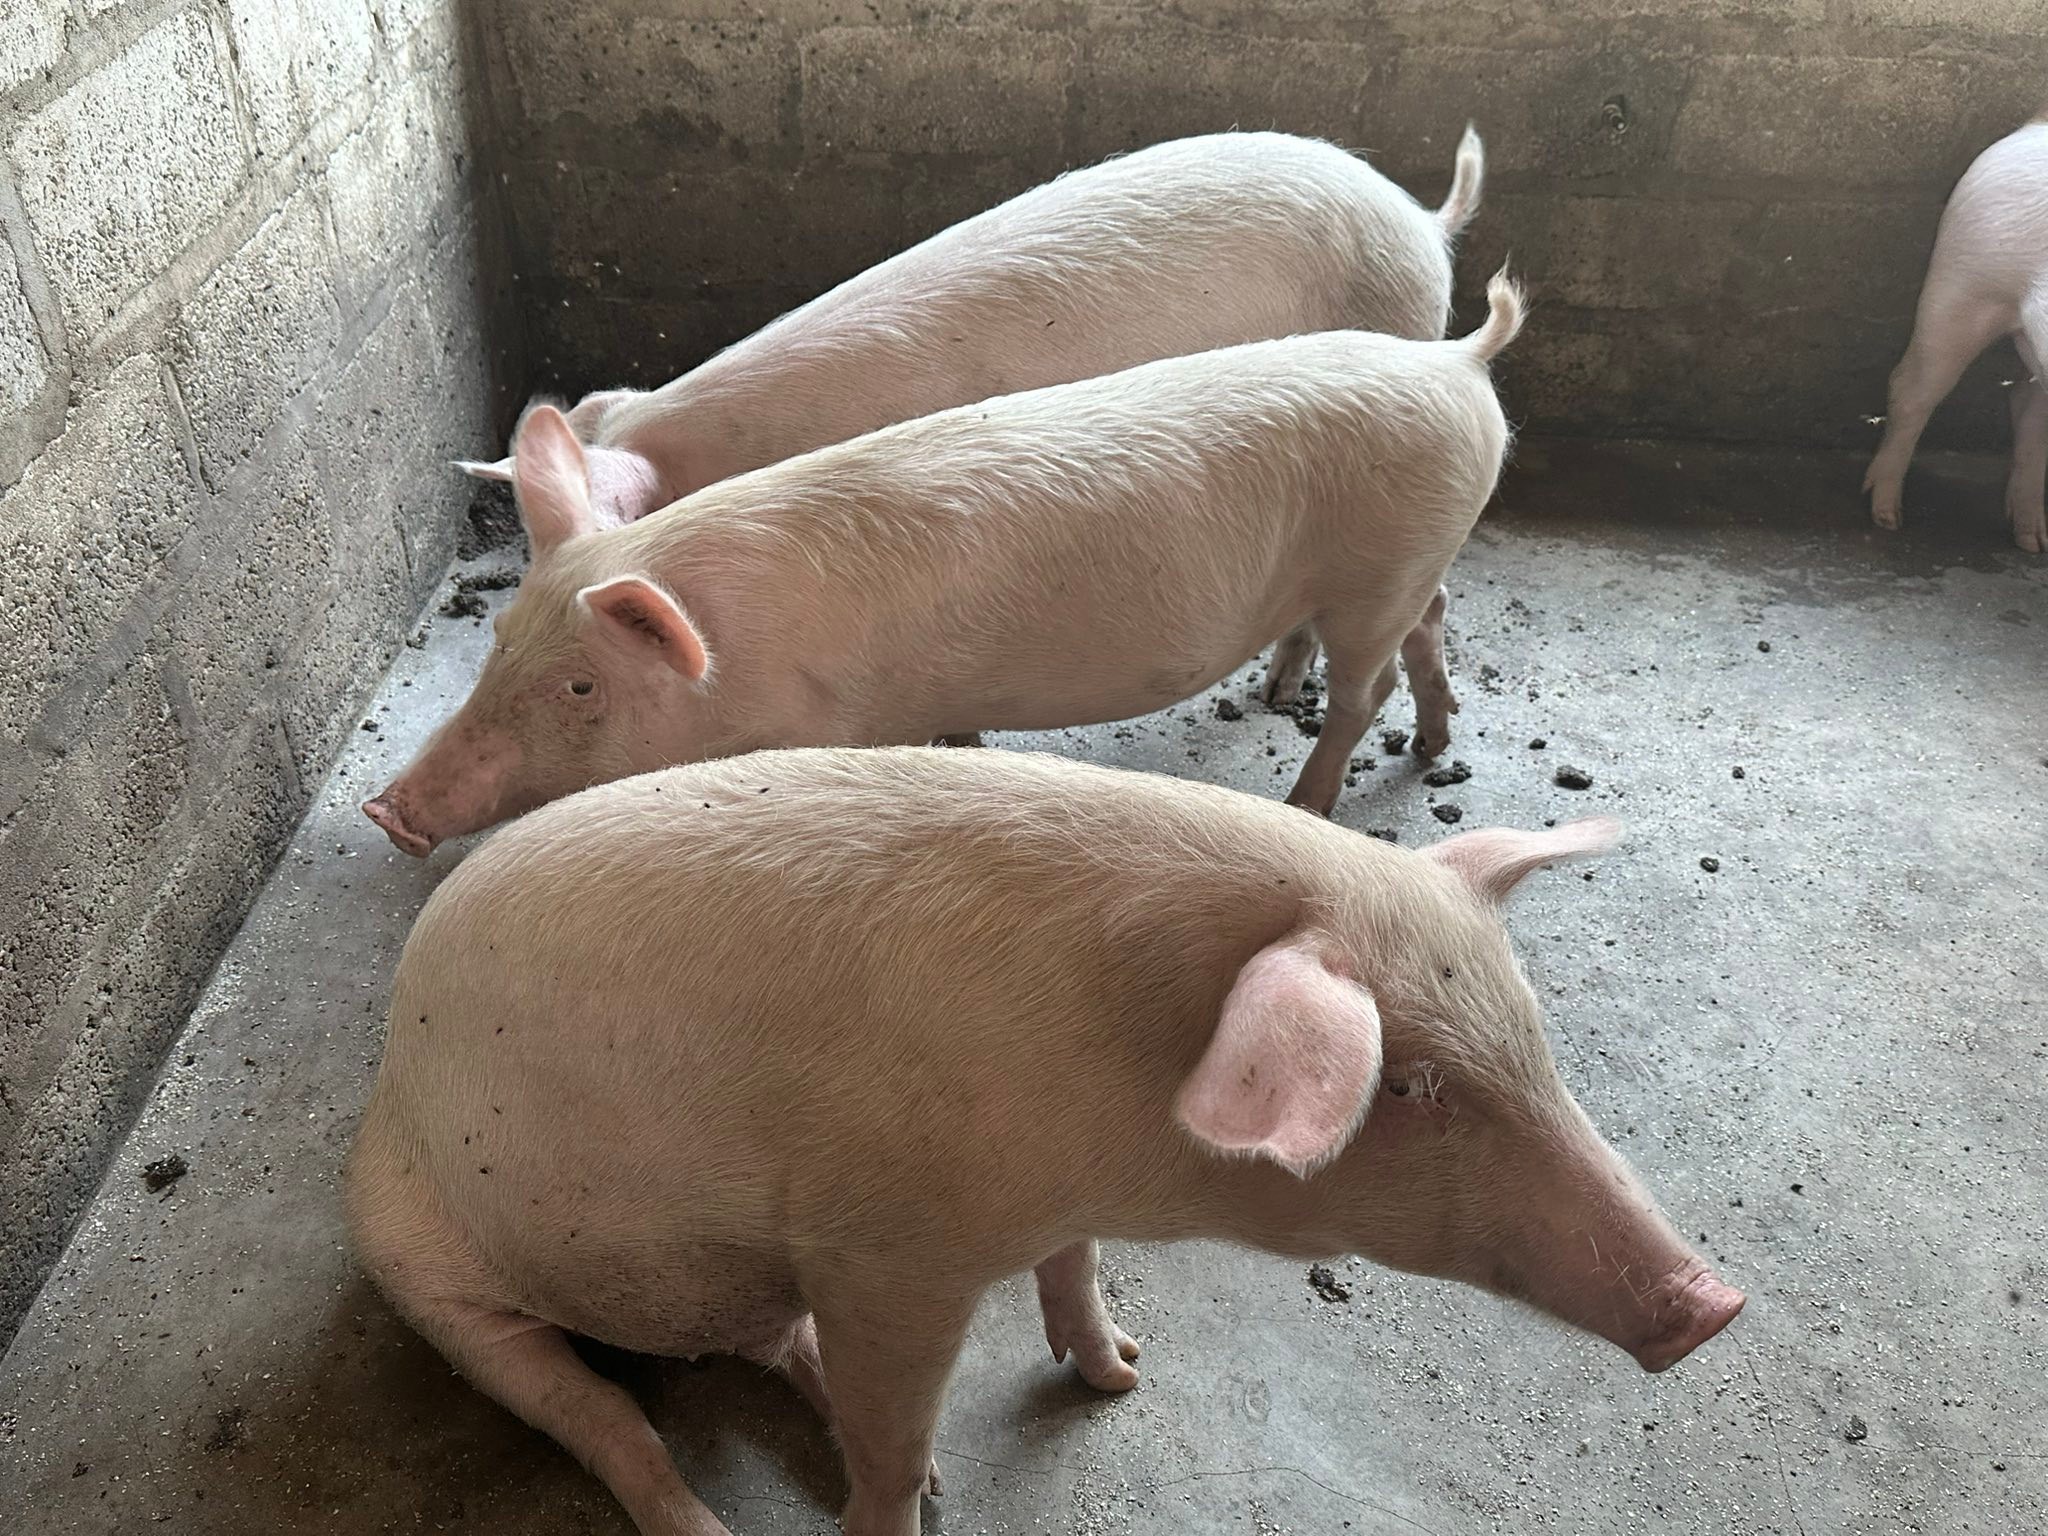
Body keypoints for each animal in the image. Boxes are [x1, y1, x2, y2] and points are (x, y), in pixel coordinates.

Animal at [347, 745, 1746, 1536]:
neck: (1109, 1135)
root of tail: (382, 1106)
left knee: (772, 1343)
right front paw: (908, 1503)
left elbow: (1069, 1268)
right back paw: (705, 1528)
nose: (1712, 1303)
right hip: (426, 1272)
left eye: (1531, 1040)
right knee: (599, 1418)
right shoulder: (881, 1250)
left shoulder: (1025, 1214)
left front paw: (1120, 1376)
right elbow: (891, 1441)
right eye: (1407, 1085)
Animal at [363, 273, 1525, 854]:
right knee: (1428, 632)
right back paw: (1426, 740)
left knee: (1363, 689)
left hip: (1377, 568)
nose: (388, 810)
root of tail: (1455, 360)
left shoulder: (844, 721)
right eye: (496, 642)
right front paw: (968, 741)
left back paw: (1308, 802)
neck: (747, 656)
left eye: (580, 686)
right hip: (1414, 555)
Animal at [1865, 114, 2048, 551]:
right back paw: (1887, 518)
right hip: (1961, 282)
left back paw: (2032, 541)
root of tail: (2034, 123)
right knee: (1911, 387)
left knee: (2025, 404)